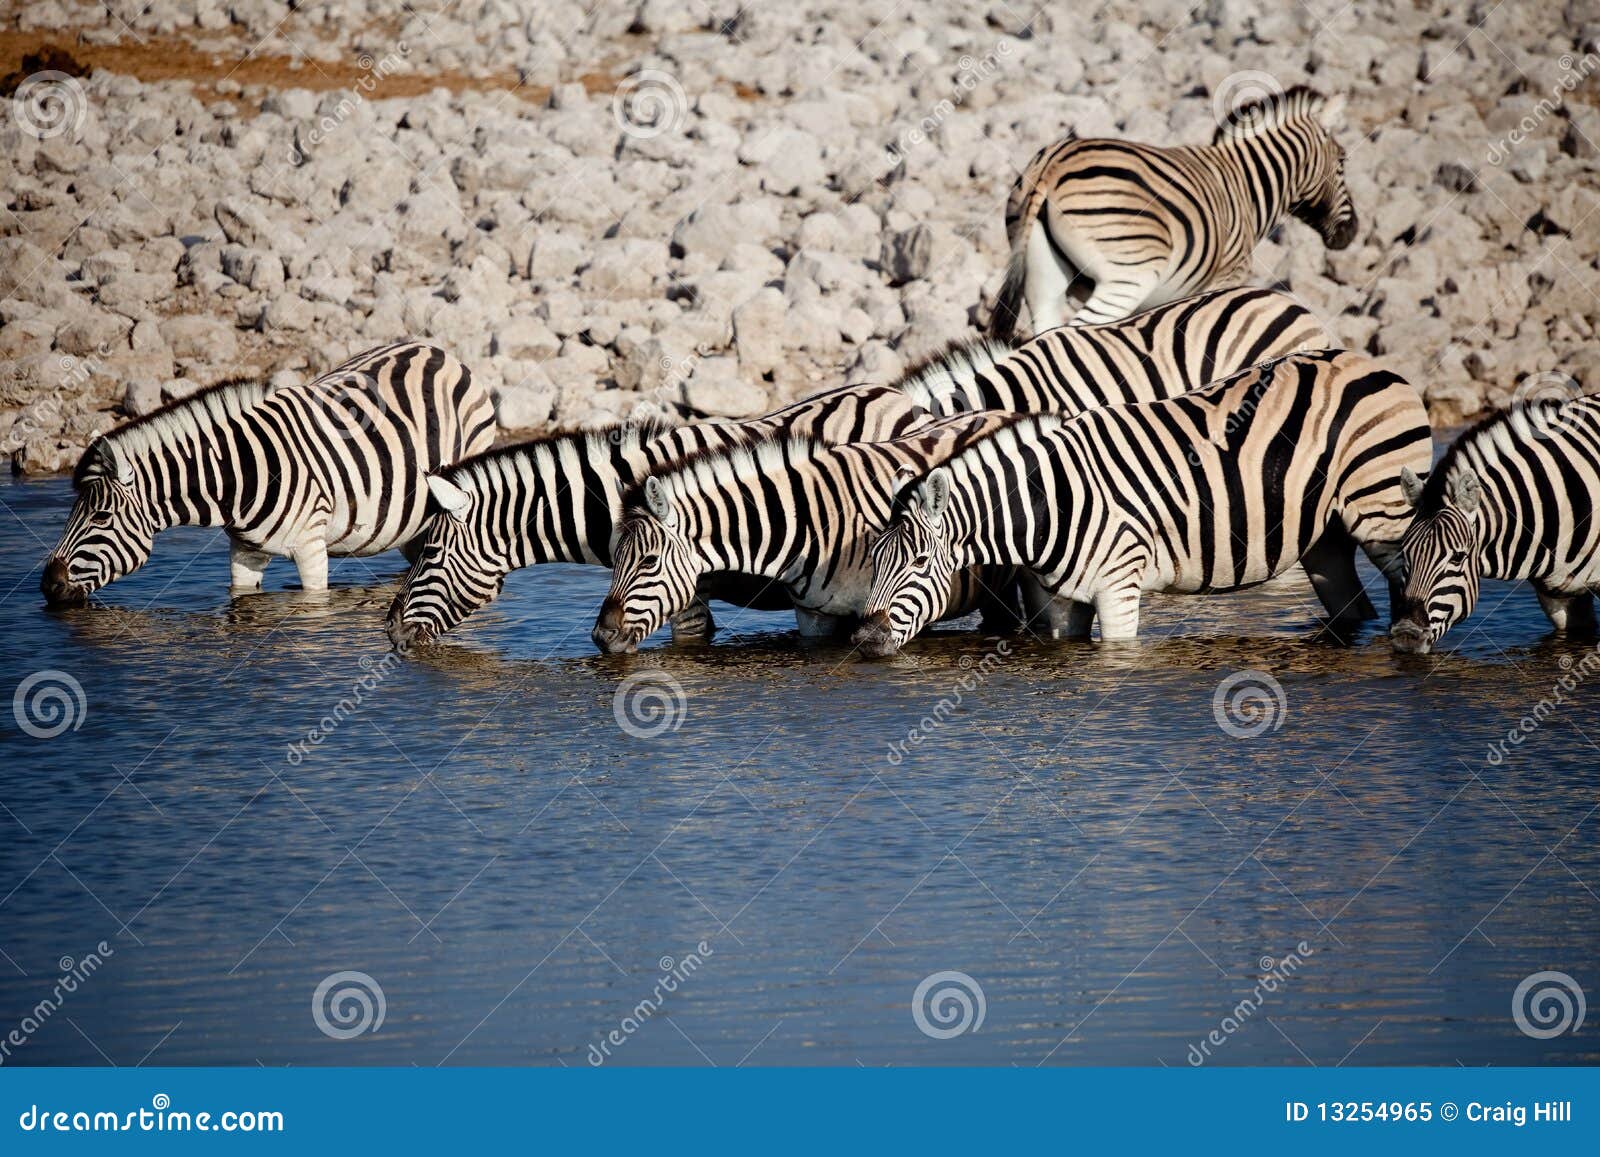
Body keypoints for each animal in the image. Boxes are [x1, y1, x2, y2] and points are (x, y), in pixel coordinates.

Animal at [41, 341, 494, 607]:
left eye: (101, 518)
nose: (48, 585)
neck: (238, 475)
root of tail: (437, 351)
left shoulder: (312, 550)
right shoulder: (244, 551)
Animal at [851, 350, 1431, 656]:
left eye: (918, 562)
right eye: (872, 559)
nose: (864, 638)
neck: (1049, 504)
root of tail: (1366, 359)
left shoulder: (1118, 588)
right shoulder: (1064, 601)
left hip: (1382, 509)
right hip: (1325, 536)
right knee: (1353, 605)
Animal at [990, 86, 1357, 337]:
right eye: (1342, 162)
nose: (1350, 233)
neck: (1246, 185)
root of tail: (1054, 165)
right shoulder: (1227, 277)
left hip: (1043, 275)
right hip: (1128, 277)